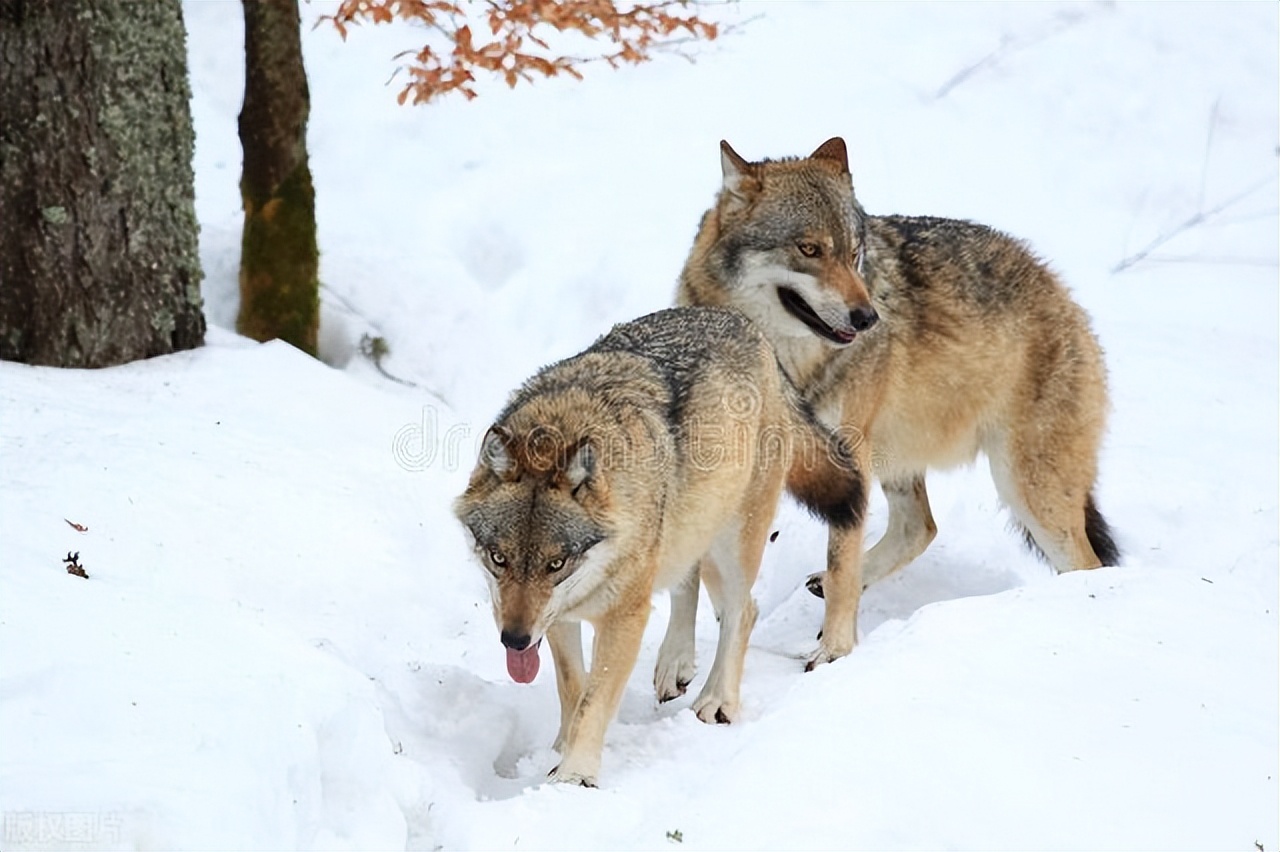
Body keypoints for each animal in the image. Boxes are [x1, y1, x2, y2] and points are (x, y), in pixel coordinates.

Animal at [454, 306, 863, 786]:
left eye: (556, 563)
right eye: (498, 558)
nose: (513, 641)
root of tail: (744, 324)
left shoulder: (623, 617)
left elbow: (594, 700)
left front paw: (574, 775)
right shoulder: (557, 618)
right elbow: (573, 687)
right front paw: (561, 747)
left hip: (733, 538)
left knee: (743, 611)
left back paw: (717, 700)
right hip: (689, 529)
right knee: (693, 586)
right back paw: (676, 664)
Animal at [676, 138, 1120, 670]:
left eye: (854, 254)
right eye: (809, 249)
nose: (867, 318)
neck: (787, 362)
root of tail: (1061, 292)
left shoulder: (843, 454)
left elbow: (840, 559)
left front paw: (835, 652)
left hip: (1026, 488)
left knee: (1086, 563)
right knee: (920, 528)